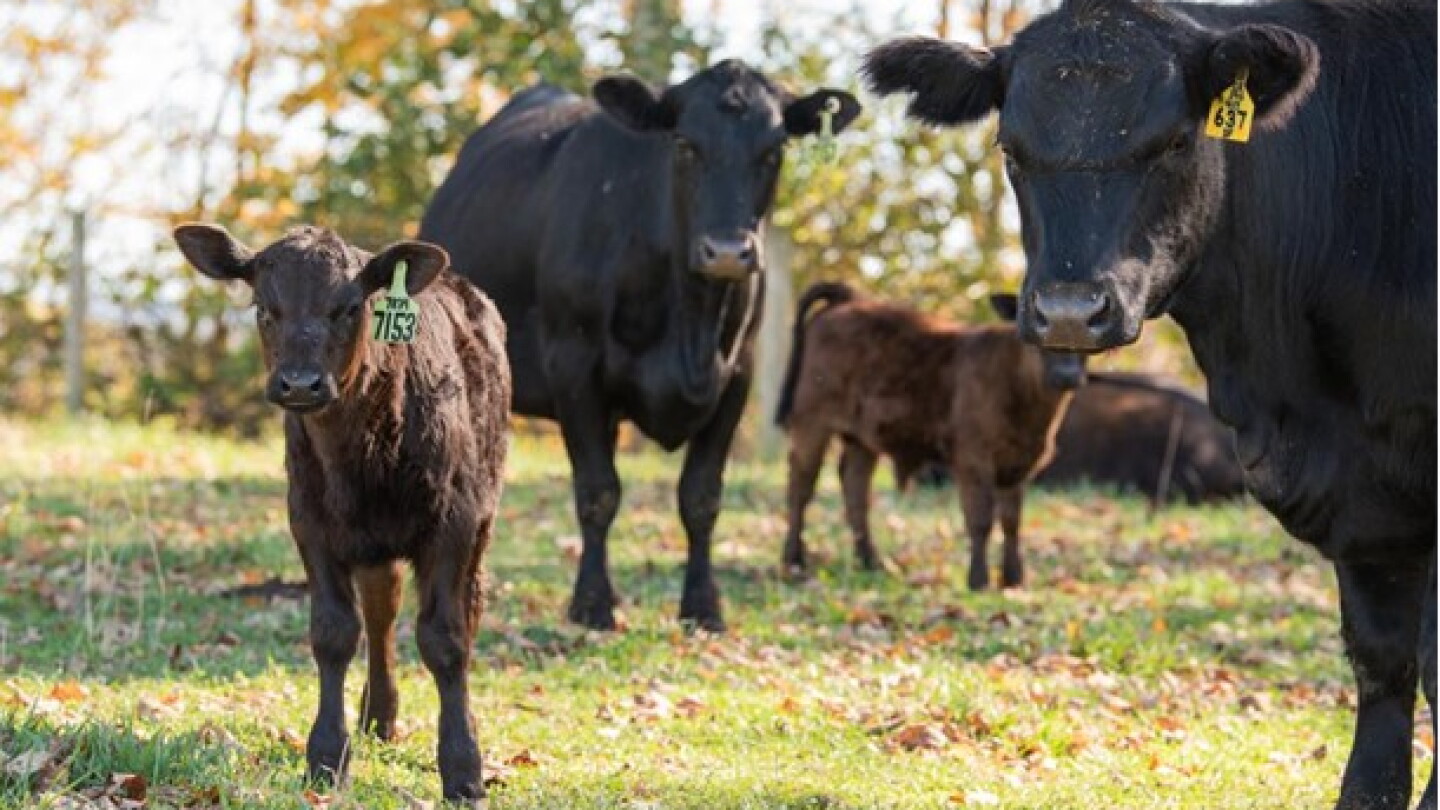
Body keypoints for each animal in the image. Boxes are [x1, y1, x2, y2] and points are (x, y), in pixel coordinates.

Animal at [174, 223, 510, 807]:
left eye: (350, 306)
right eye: (264, 307)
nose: (300, 383)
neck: (359, 459)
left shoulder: (454, 523)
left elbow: (445, 641)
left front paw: (464, 769)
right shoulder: (311, 524)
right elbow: (333, 633)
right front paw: (327, 759)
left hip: (481, 520)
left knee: (463, 612)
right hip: (372, 543)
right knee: (381, 612)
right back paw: (379, 717)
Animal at [419, 61, 861, 631]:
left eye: (775, 148)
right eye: (684, 144)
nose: (726, 252)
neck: (689, 326)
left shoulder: (736, 374)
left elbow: (701, 497)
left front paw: (703, 606)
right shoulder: (574, 366)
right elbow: (598, 492)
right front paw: (592, 606)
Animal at [774, 282, 1084, 589]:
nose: (1067, 375)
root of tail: (847, 301)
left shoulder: (1019, 465)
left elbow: (1011, 521)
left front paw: (1013, 580)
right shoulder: (973, 459)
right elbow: (981, 519)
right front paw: (978, 580)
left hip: (862, 439)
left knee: (855, 488)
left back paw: (871, 561)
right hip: (811, 421)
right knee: (801, 487)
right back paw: (794, 561)